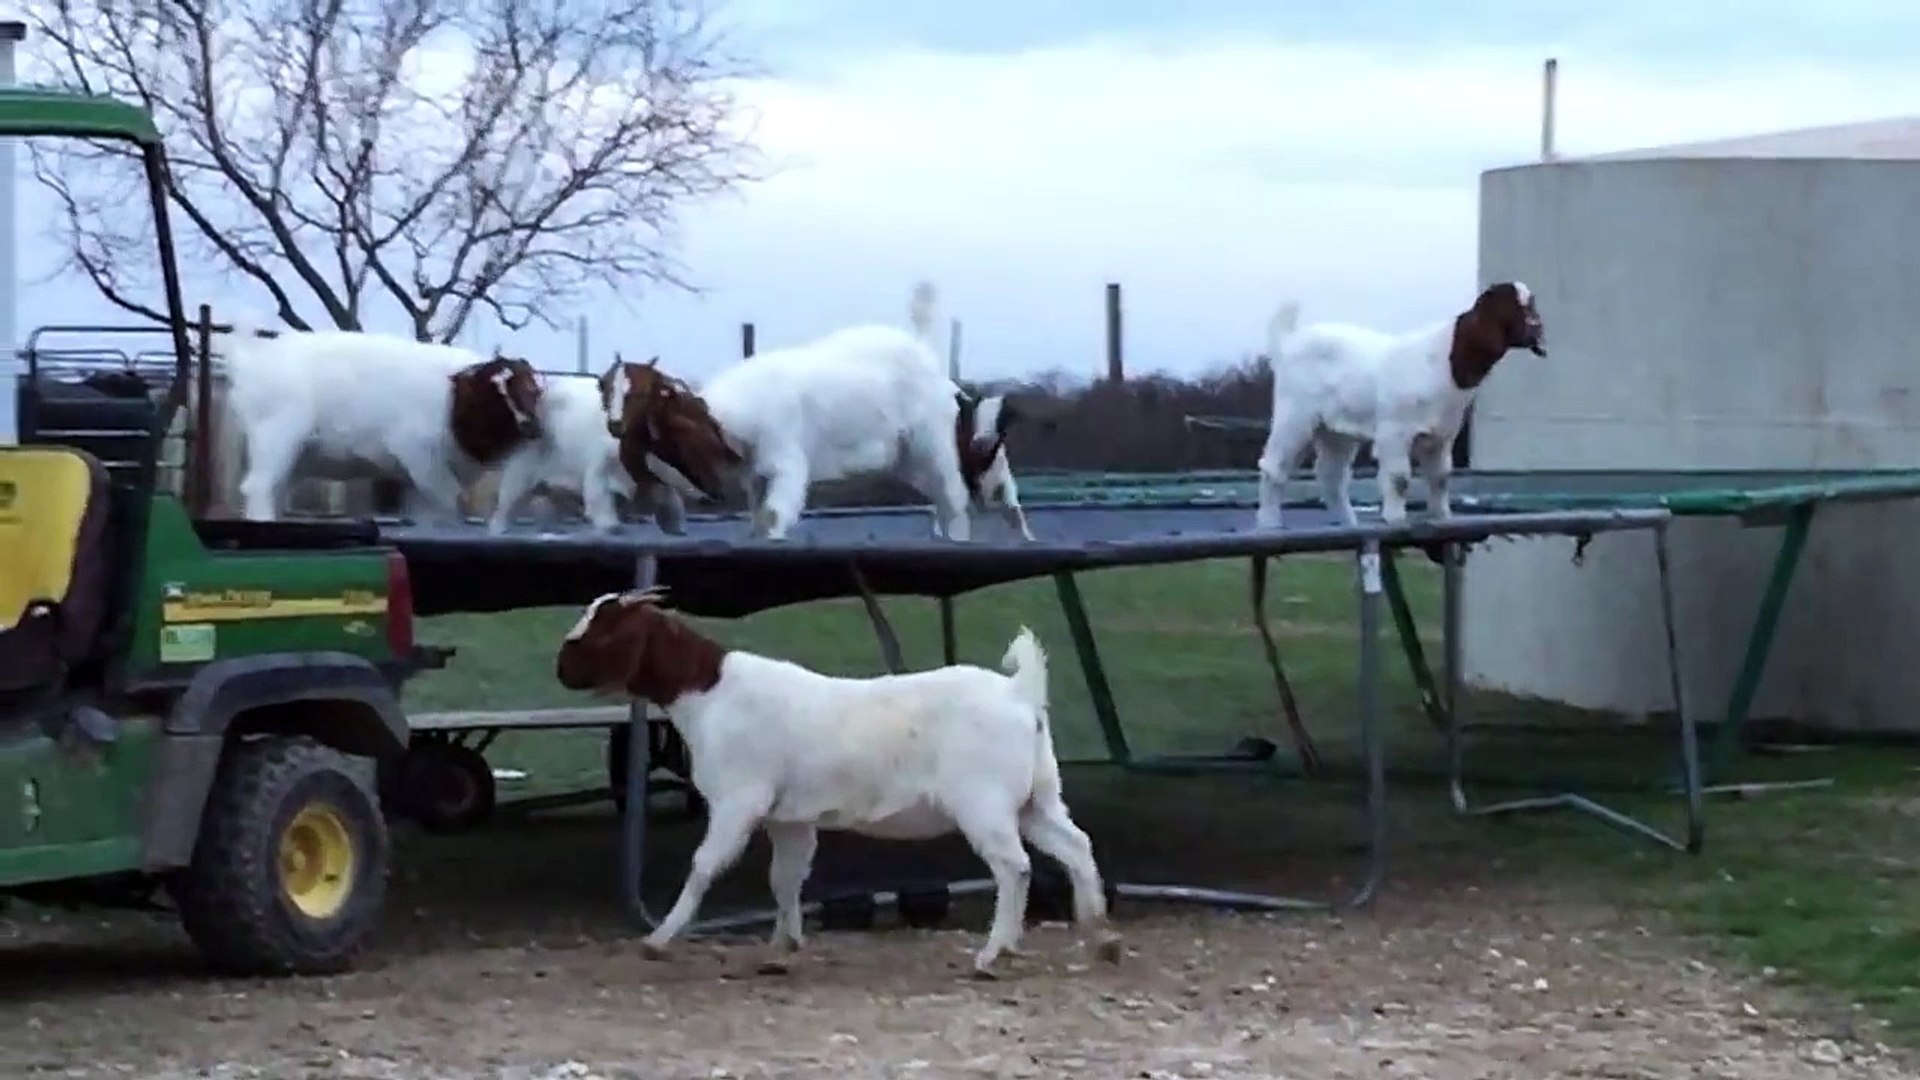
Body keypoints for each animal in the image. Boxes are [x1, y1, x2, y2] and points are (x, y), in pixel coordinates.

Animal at [222, 322, 545, 523]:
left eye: (531, 389)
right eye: (493, 395)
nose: (530, 426)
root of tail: (250, 362)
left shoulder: (419, 479)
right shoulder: (418, 454)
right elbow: (446, 499)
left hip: (296, 457)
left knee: (276, 489)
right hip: (276, 435)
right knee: (257, 486)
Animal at [486, 374, 687, 535]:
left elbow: (665, 492)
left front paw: (674, 524)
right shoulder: (605, 452)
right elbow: (597, 485)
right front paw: (609, 524)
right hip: (536, 448)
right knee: (515, 486)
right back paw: (499, 526)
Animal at [554, 588, 1121, 977]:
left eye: (606, 628)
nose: (561, 667)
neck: (711, 693)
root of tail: (1019, 693)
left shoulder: (739, 801)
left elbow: (704, 867)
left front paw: (659, 940)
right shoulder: (788, 817)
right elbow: (785, 878)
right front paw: (782, 949)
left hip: (984, 803)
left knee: (1015, 867)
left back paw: (992, 954)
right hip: (1036, 799)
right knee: (1076, 846)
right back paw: (1102, 937)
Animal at [601, 283, 1034, 541]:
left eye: (641, 396)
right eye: (605, 390)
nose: (615, 426)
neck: (730, 416)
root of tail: (923, 353)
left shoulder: (786, 460)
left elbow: (776, 513)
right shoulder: (755, 476)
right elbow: (758, 516)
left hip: (934, 444)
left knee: (955, 497)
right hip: (907, 457)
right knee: (947, 500)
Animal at [1254, 282, 1545, 529]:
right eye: (1518, 306)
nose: (1539, 329)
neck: (1447, 362)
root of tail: (1288, 343)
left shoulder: (1441, 437)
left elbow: (1440, 477)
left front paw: (1442, 516)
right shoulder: (1394, 431)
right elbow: (1399, 477)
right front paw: (1395, 518)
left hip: (1337, 430)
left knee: (1332, 475)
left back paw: (1348, 522)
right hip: (1295, 415)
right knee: (1275, 466)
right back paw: (1269, 523)